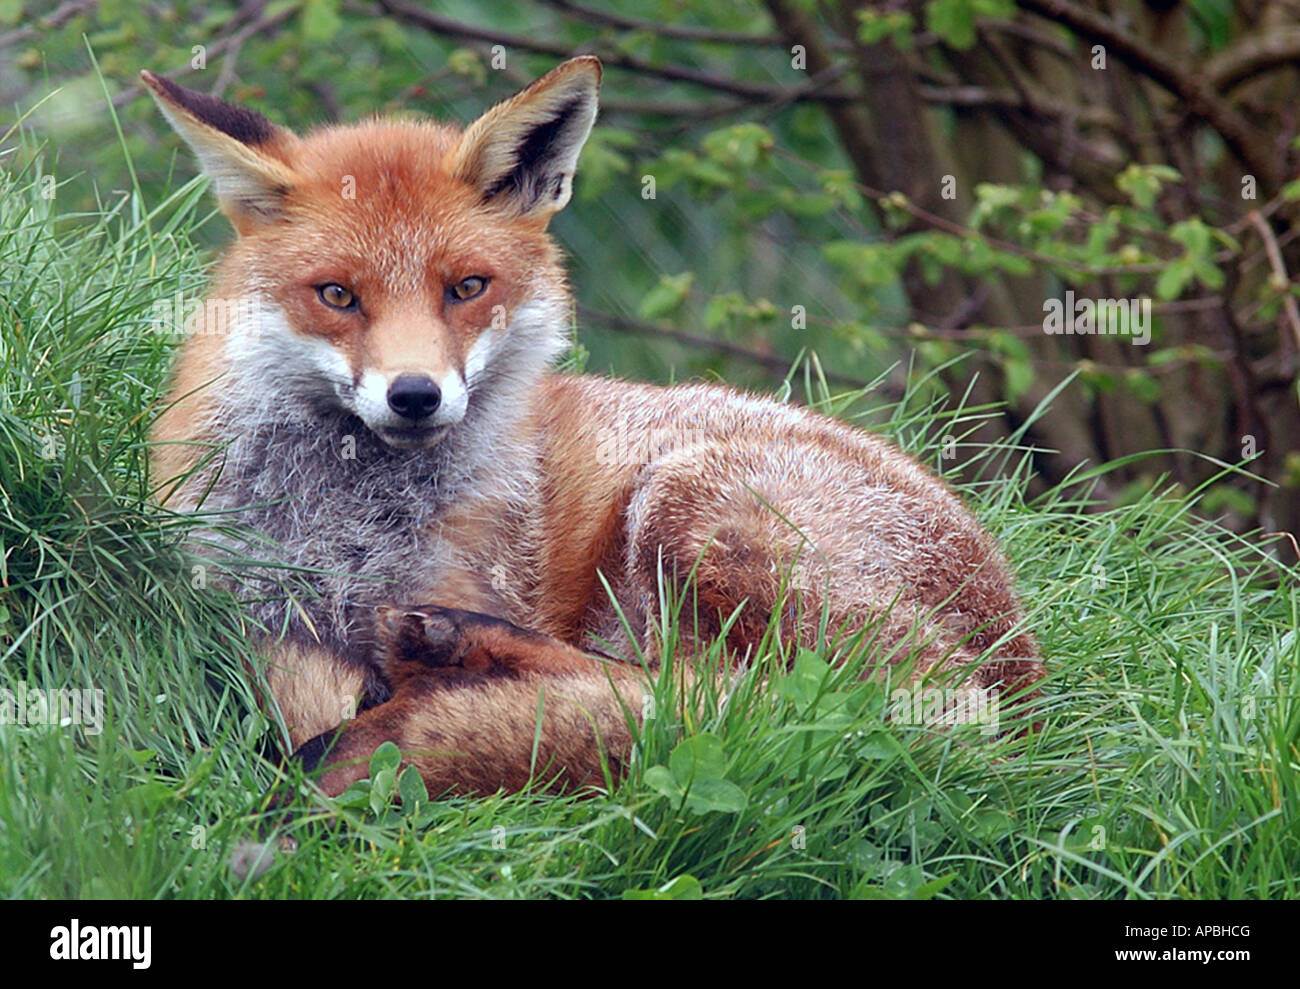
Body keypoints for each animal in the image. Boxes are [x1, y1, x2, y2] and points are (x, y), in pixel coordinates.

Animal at [141, 57, 1044, 798]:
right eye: (337, 295)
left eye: (467, 287)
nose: (415, 395)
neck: (348, 530)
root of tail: (1023, 658)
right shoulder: (245, 612)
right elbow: (295, 682)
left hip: (690, 502)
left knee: (738, 696)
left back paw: (453, 656)